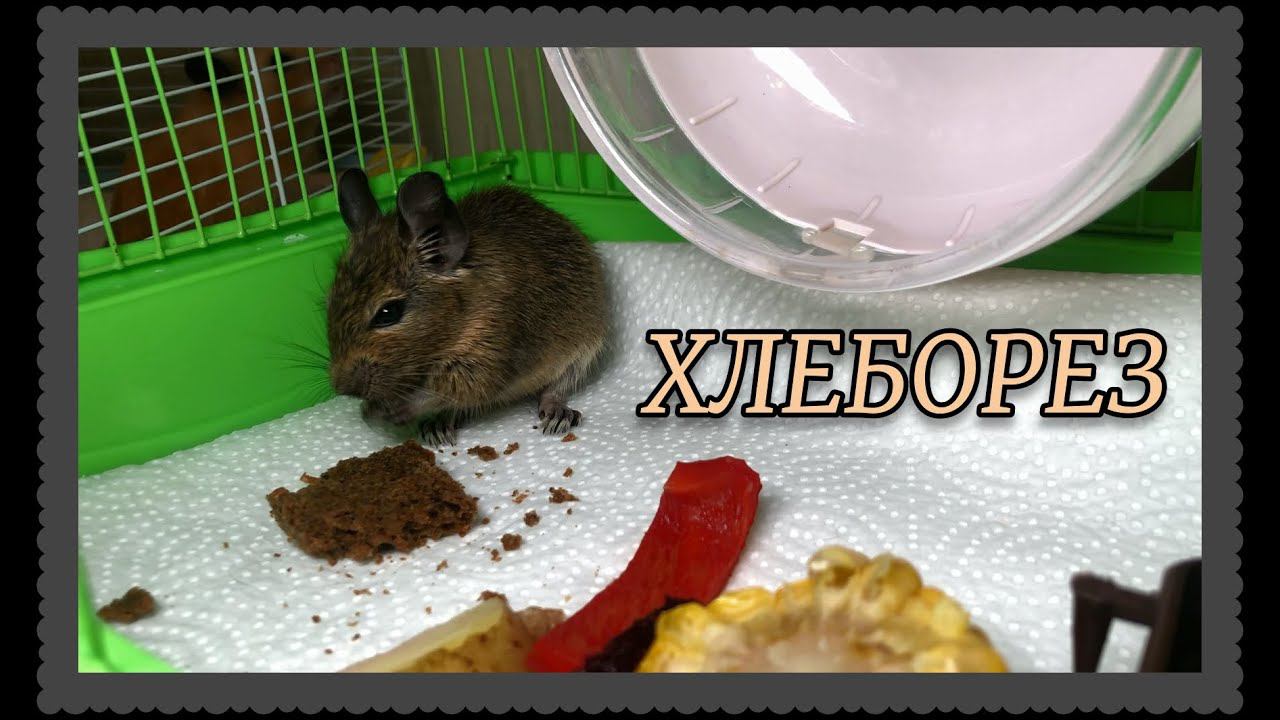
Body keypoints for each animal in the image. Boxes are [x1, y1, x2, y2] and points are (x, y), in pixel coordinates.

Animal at [326, 168, 607, 445]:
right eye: (330, 302)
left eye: (388, 313)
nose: (342, 388)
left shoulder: (488, 357)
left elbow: (445, 393)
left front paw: (384, 410)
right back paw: (439, 426)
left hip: (584, 349)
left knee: (556, 388)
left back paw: (557, 413)